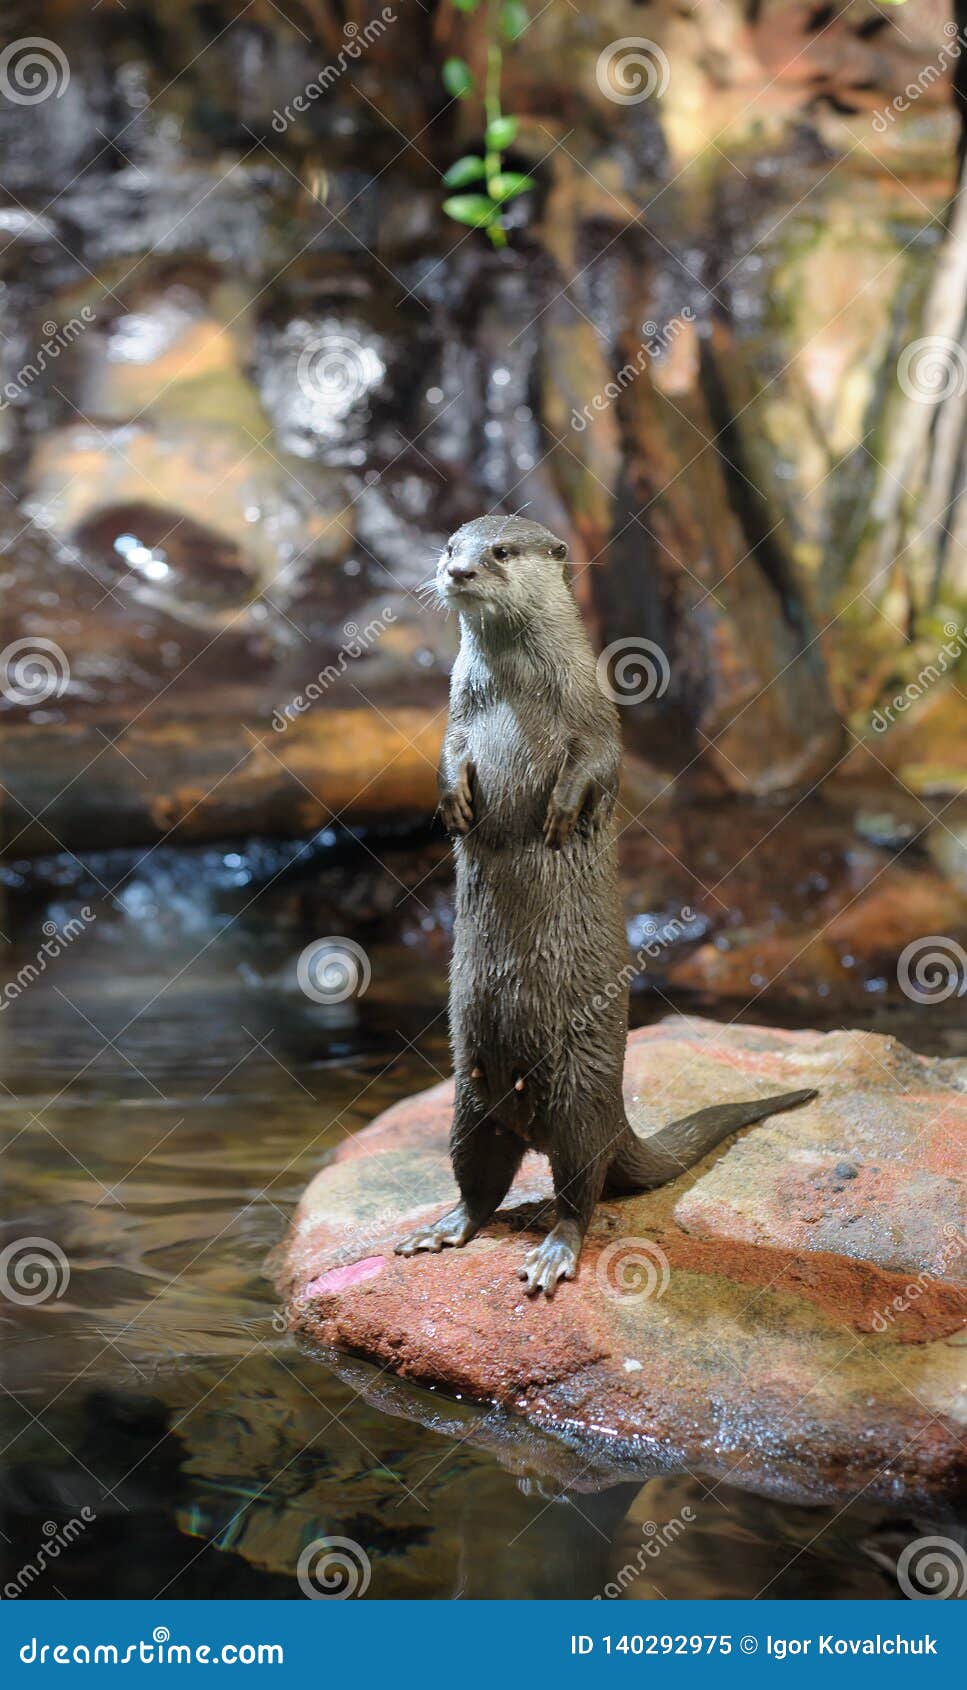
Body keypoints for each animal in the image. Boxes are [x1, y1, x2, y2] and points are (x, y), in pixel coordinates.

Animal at [395, 515, 816, 1296]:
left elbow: (595, 764)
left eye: (500, 552)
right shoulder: (457, 714)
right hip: (469, 1101)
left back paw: (553, 1251)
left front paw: (562, 812)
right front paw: (453, 801)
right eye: (449, 546)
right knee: (479, 1181)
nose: (459, 572)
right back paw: (445, 1228)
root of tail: (617, 1116)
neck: (516, 692)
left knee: (579, 1190)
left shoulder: (595, 715)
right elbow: (447, 753)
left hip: (578, 1097)